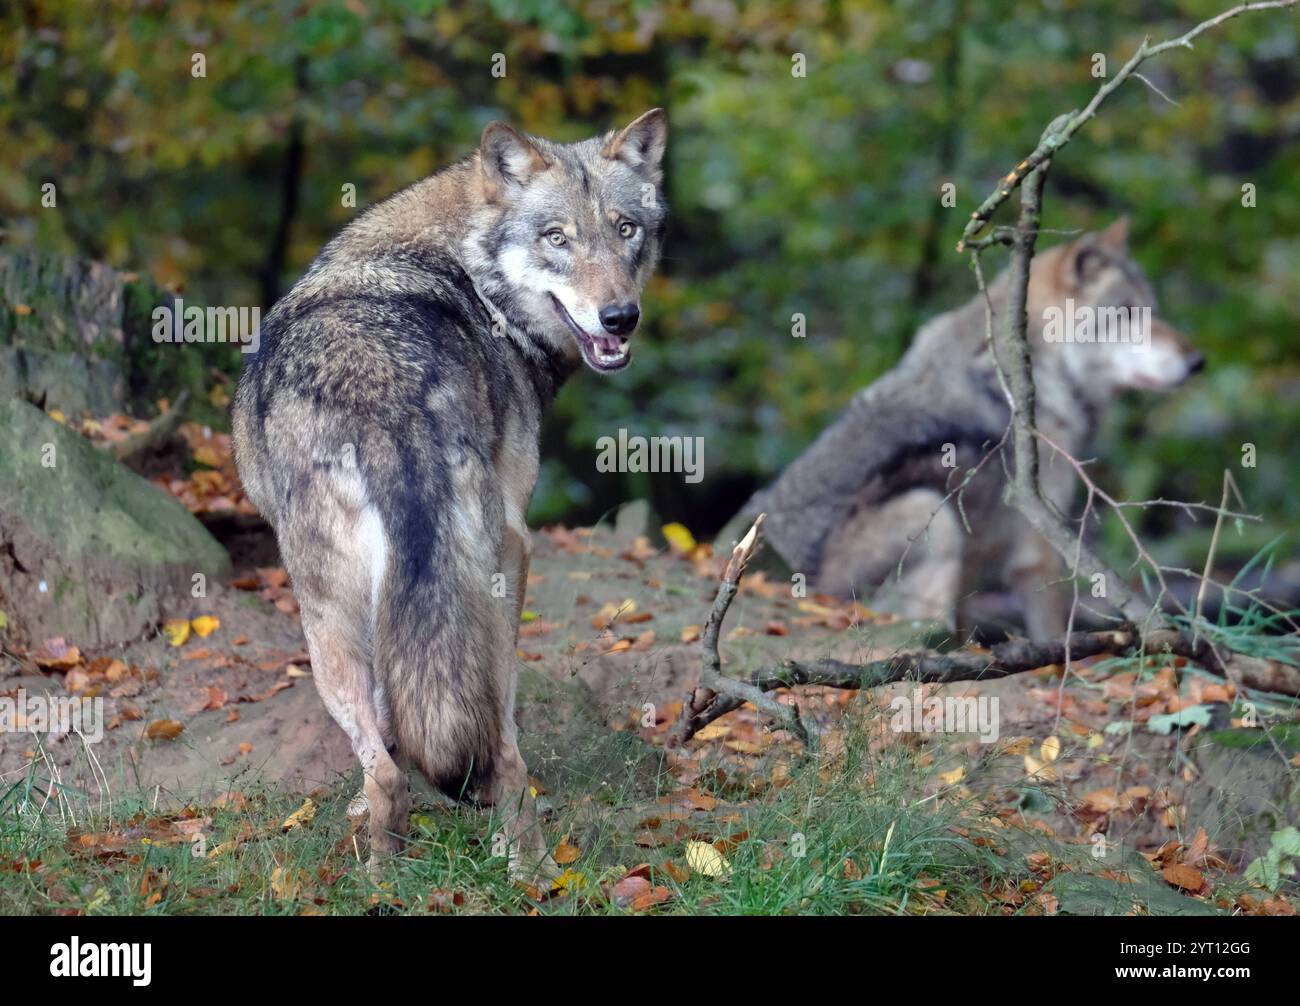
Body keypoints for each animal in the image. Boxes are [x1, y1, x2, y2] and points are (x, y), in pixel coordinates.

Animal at [232, 110, 668, 878]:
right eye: (557, 237)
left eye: (626, 229)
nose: (621, 317)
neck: (469, 269)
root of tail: (384, 410)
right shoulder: (514, 546)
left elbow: (390, 722)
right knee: (490, 751)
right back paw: (510, 870)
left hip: (329, 620)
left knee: (395, 770)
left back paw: (391, 876)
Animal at [742, 219, 1203, 640]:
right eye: (1127, 313)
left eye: (1153, 310)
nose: (1199, 362)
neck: (1042, 365)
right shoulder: (1038, 549)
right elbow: (1051, 630)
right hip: (933, 517)